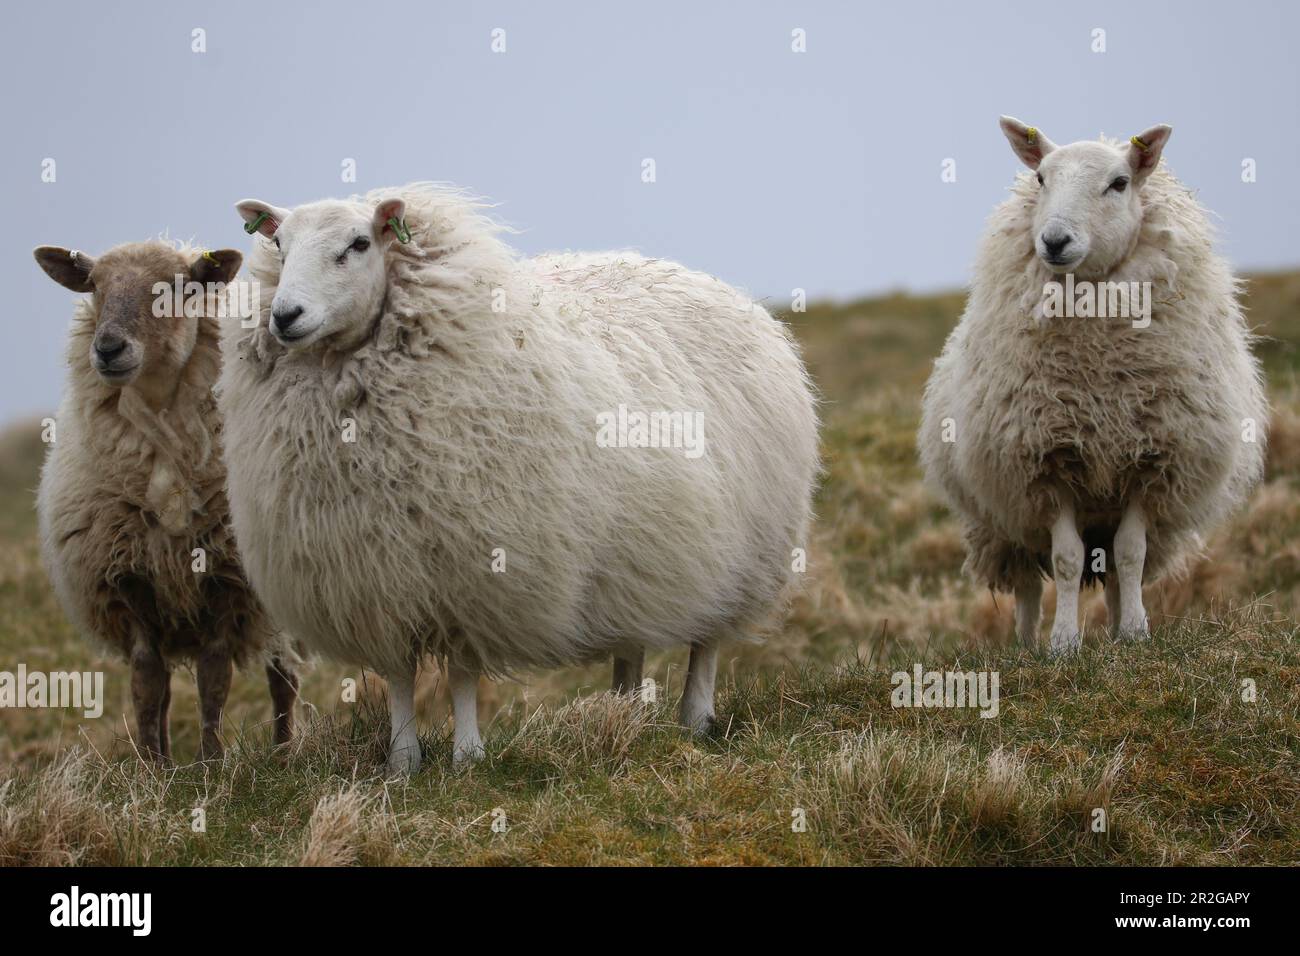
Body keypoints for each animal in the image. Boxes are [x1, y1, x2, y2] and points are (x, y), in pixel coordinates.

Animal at [33, 241, 299, 761]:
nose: (108, 348)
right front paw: (152, 766)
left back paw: (282, 753)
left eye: (177, 287)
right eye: (94, 286)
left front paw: (212, 762)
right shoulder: (127, 575)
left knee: (283, 678)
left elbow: (214, 677)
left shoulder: (226, 577)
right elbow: (146, 681)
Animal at [220, 183, 819, 774]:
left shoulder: (470, 574)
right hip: (635, 556)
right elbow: (398, 675)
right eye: (280, 246)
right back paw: (625, 713)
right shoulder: (378, 579)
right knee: (632, 642)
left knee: (708, 642)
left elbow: (461, 674)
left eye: (359, 243)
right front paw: (403, 761)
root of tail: (726, 289)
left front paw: (467, 756)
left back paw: (695, 718)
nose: (284, 315)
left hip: (742, 552)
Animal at [919, 118, 1267, 654]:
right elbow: (1065, 559)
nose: (1054, 240)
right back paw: (1026, 645)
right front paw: (1064, 642)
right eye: (1041, 177)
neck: (1099, 374)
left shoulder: (1152, 464)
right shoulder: (1047, 464)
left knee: (1117, 569)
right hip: (1004, 519)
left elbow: (1131, 555)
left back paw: (1120, 626)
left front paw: (1135, 632)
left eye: (1119, 183)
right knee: (1027, 579)